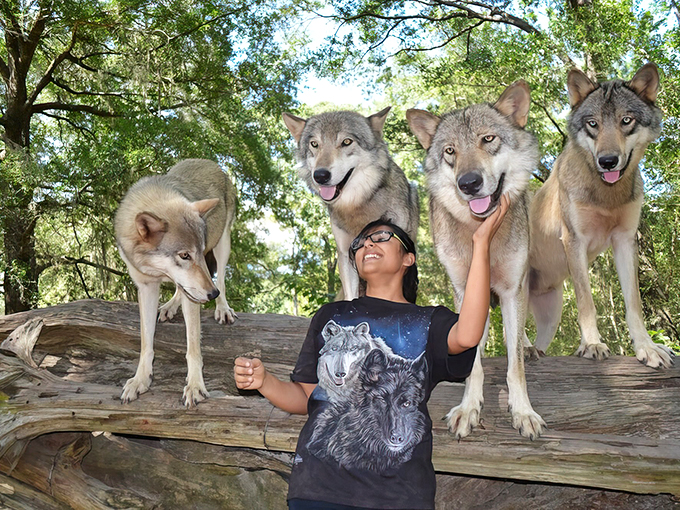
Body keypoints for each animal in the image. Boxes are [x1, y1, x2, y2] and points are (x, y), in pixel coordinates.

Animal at [115, 159, 237, 407]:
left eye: (197, 252)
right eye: (184, 255)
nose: (212, 295)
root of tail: (210, 162)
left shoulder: (197, 283)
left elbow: (193, 347)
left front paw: (195, 386)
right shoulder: (147, 288)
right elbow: (146, 343)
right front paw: (140, 380)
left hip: (223, 245)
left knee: (220, 278)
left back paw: (223, 308)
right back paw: (170, 307)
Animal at [283, 108, 419, 300]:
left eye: (346, 142)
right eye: (314, 144)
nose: (320, 175)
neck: (357, 204)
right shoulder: (345, 256)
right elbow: (350, 296)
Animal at [407, 81, 545, 440]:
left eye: (488, 139)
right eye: (450, 151)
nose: (468, 183)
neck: (480, 234)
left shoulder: (511, 290)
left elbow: (514, 365)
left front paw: (523, 412)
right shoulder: (464, 291)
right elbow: (473, 364)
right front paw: (469, 409)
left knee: (518, 337)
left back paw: (526, 345)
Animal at [528, 63, 674, 368]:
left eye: (626, 120)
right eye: (593, 124)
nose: (607, 161)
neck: (607, 195)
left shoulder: (625, 241)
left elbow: (634, 304)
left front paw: (647, 348)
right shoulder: (575, 242)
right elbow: (587, 303)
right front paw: (592, 344)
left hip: (552, 315)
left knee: (538, 340)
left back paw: (535, 352)